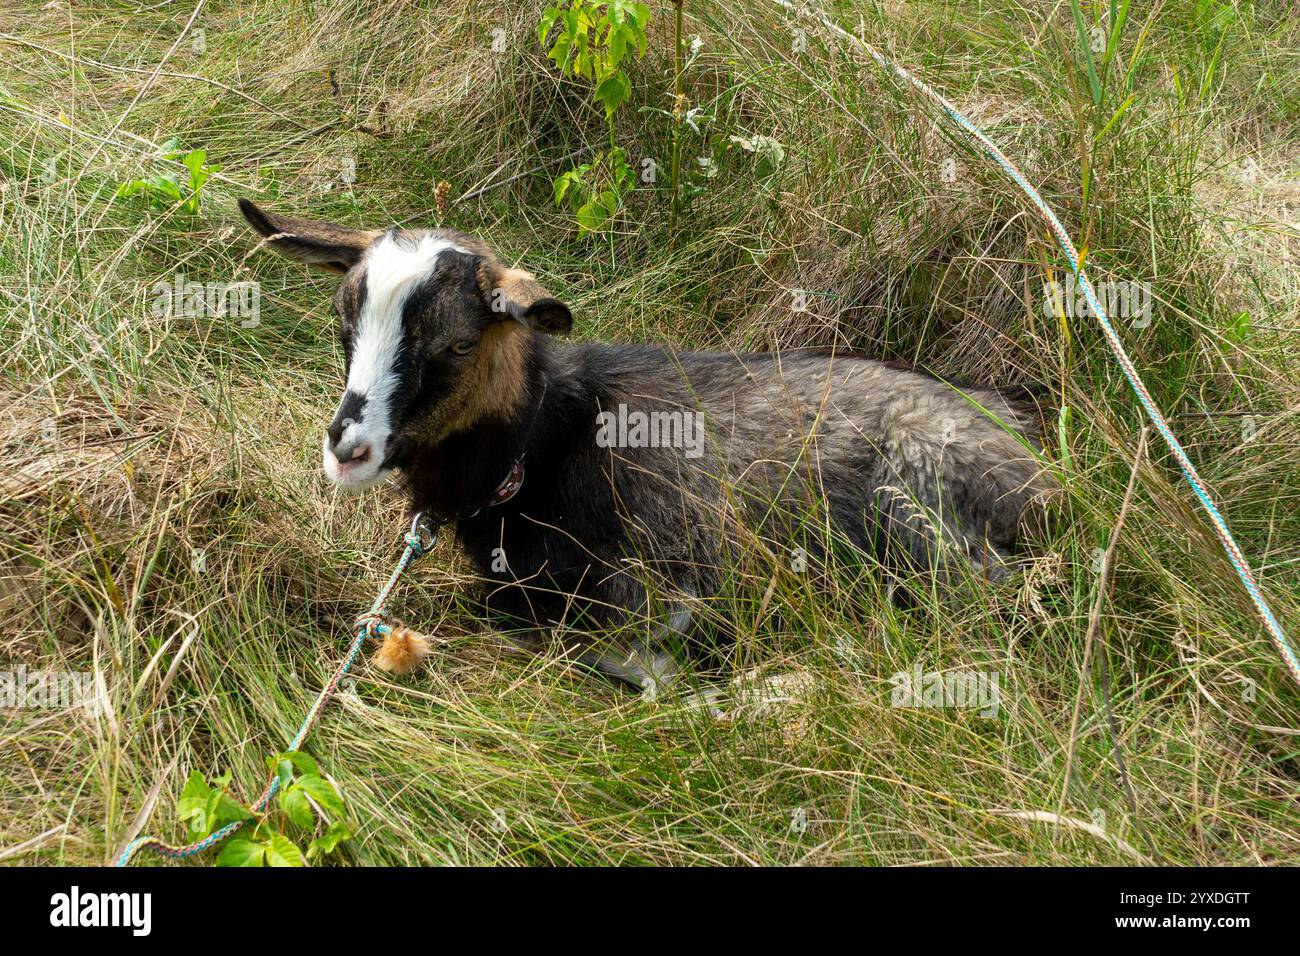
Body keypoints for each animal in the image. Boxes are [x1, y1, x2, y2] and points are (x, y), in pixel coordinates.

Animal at [238, 199, 1051, 692]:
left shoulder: (668, 575)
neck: (546, 439)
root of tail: (1041, 473)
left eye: (459, 344)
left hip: (920, 511)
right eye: (343, 325)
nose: (347, 447)